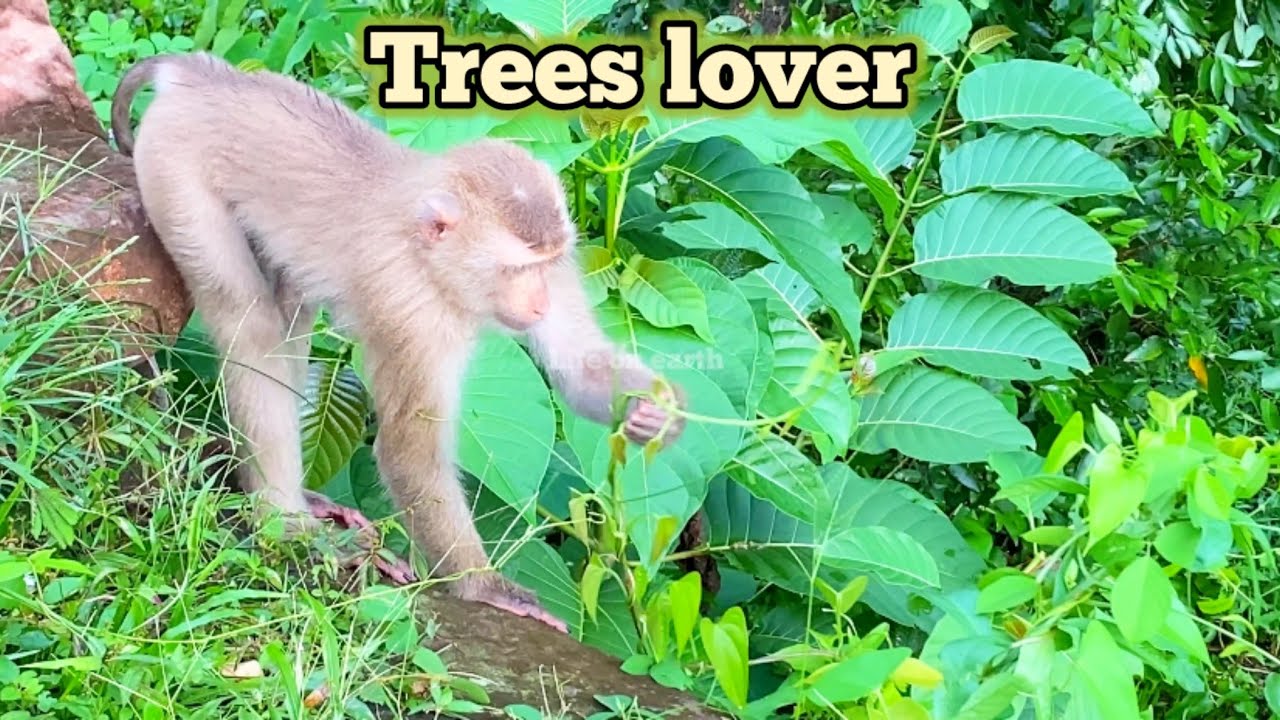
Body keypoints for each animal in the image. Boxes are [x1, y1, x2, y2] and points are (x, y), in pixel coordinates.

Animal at [109, 52, 686, 632]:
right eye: (517, 269)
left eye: (543, 265)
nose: (540, 302)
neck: (437, 266)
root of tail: (206, 75)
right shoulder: (410, 313)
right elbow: (408, 450)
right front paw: (484, 587)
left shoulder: (565, 260)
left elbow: (577, 368)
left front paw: (655, 411)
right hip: (173, 168)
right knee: (249, 323)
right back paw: (286, 521)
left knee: (292, 311)